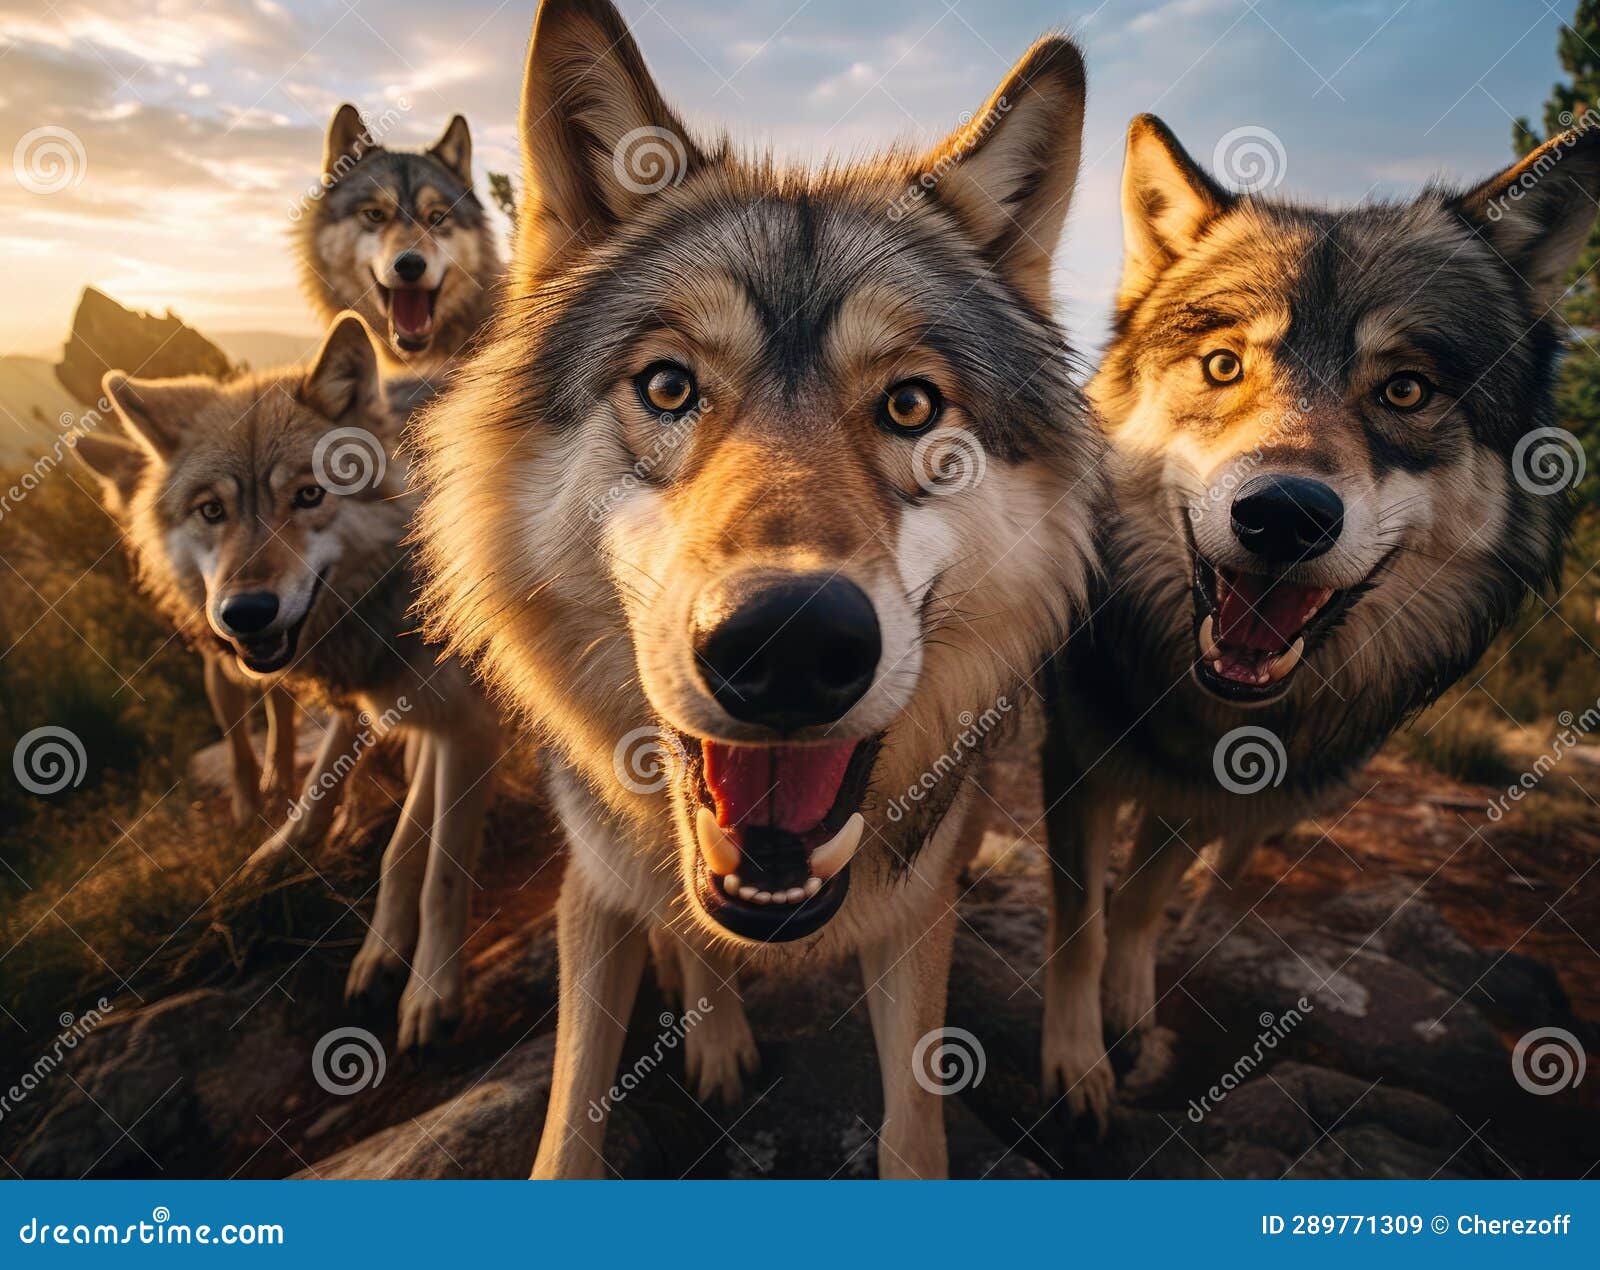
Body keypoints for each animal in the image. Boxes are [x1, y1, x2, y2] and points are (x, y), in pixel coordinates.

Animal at [75, 314, 503, 1046]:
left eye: (309, 495)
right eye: (211, 511)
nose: (245, 613)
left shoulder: (467, 723)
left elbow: (441, 869)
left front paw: (428, 994)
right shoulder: (417, 707)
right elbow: (387, 839)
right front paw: (371, 948)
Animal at [410, 0, 1101, 1178]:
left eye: (911, 405)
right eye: (667, 386)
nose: (788, 644)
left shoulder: (917, 912)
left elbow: (913, 1131)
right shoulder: (591, 893)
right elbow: (572, 1115)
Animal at [1037, 114, 1599, 1130]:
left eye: (1406, 390)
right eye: (1224, 365)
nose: (1283, 517)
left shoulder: (1204, 788)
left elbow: (1138, 900)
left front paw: (1129, 1015)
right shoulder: (1076, 759)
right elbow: (1079, 921)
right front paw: (1077, 1065)